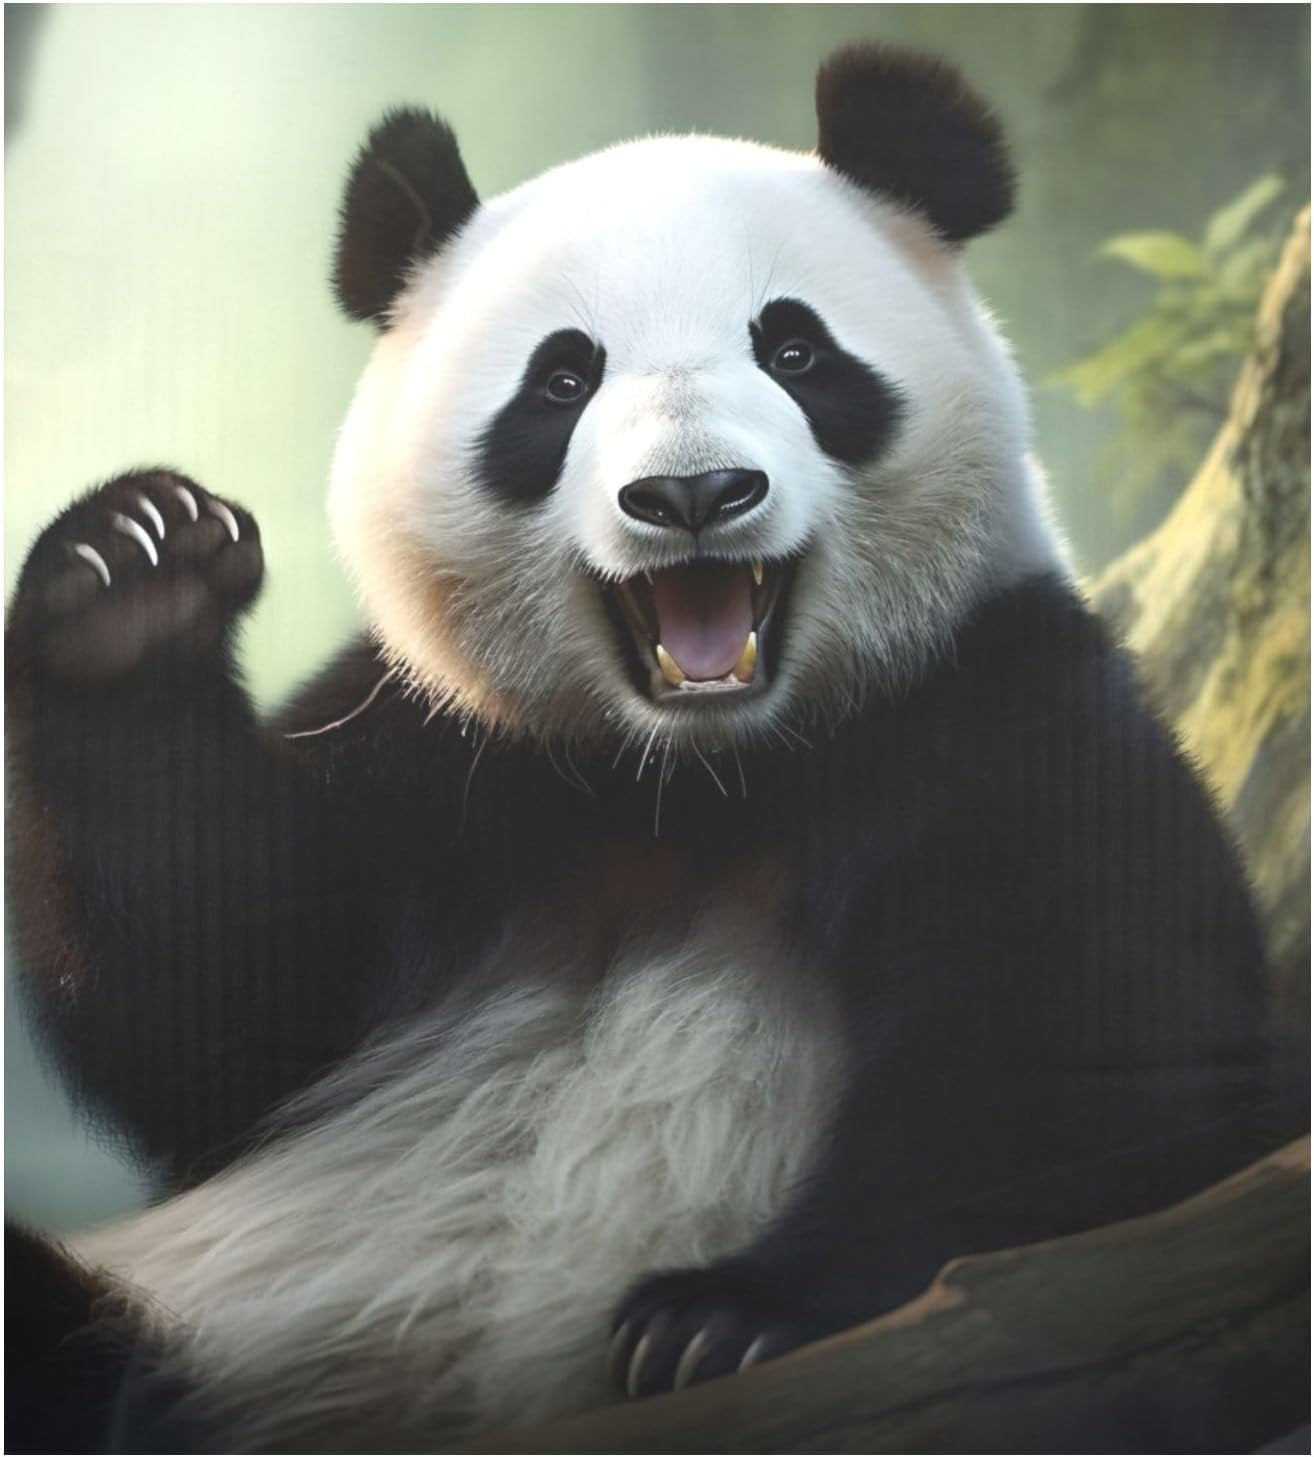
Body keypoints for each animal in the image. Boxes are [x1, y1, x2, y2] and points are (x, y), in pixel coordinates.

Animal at [6, 41, 1290, 1453]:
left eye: (796, 348)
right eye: (563, 379)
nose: (691, 494)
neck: (700, 774)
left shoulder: (997, 705)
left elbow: (1104, 1051)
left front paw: (721, 1318)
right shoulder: (446, 753)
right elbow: (224, 1013)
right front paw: (135, 576)